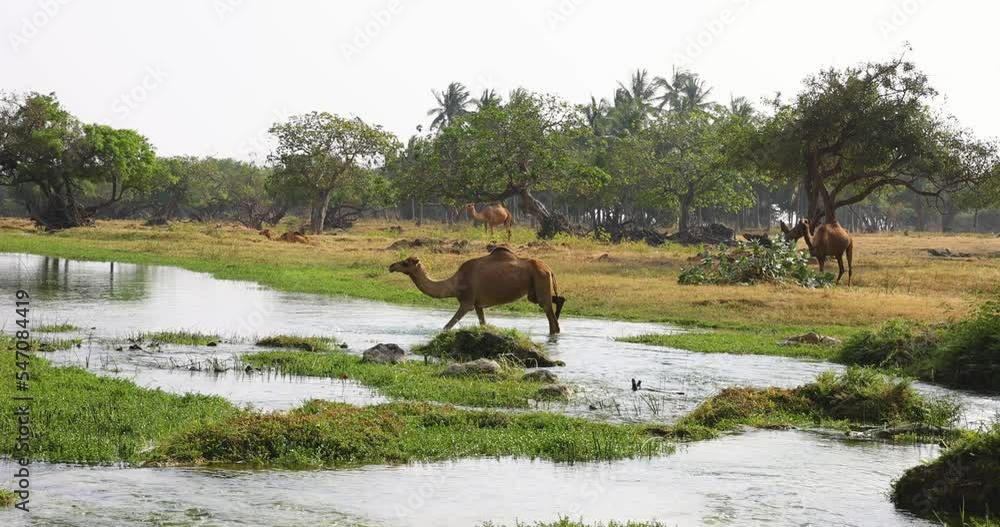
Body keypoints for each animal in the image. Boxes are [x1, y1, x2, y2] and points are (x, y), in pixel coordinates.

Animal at [388, 247, 566, 334]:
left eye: (405, 263)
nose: (391, 266)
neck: (455, 283)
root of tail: (549, 269)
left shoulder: (467, 301)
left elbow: (448, 325)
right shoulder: (478, 304)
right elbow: (483, 323)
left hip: (540, 280)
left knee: (549, 312)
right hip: (533, 289)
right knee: (555, 301)